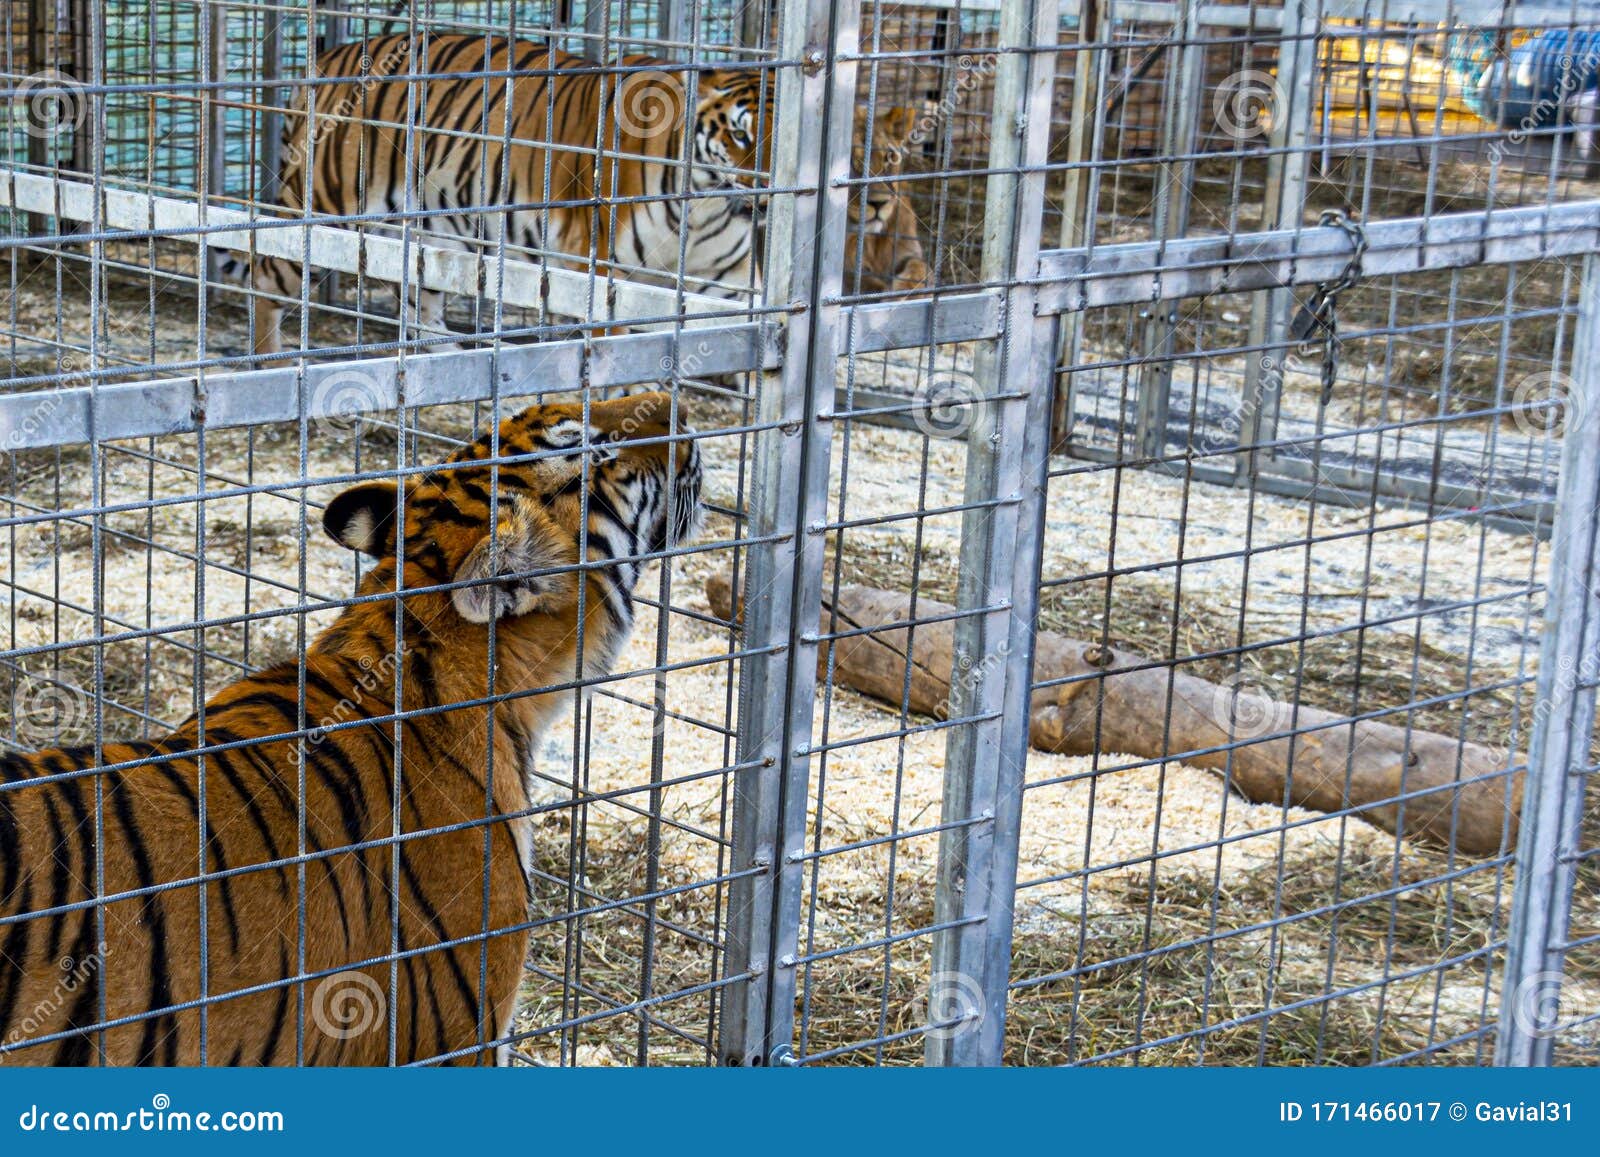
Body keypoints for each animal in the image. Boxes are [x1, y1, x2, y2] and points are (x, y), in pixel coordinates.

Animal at [220, 35, 929, 358]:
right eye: (741, 135)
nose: (768, 189)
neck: (706, 205)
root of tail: (333, 54)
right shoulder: (606, 281)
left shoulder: (727, 287)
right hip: (320, 212)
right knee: (262, 280)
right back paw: (269, 373)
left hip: (434, 238)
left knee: (416, 306)